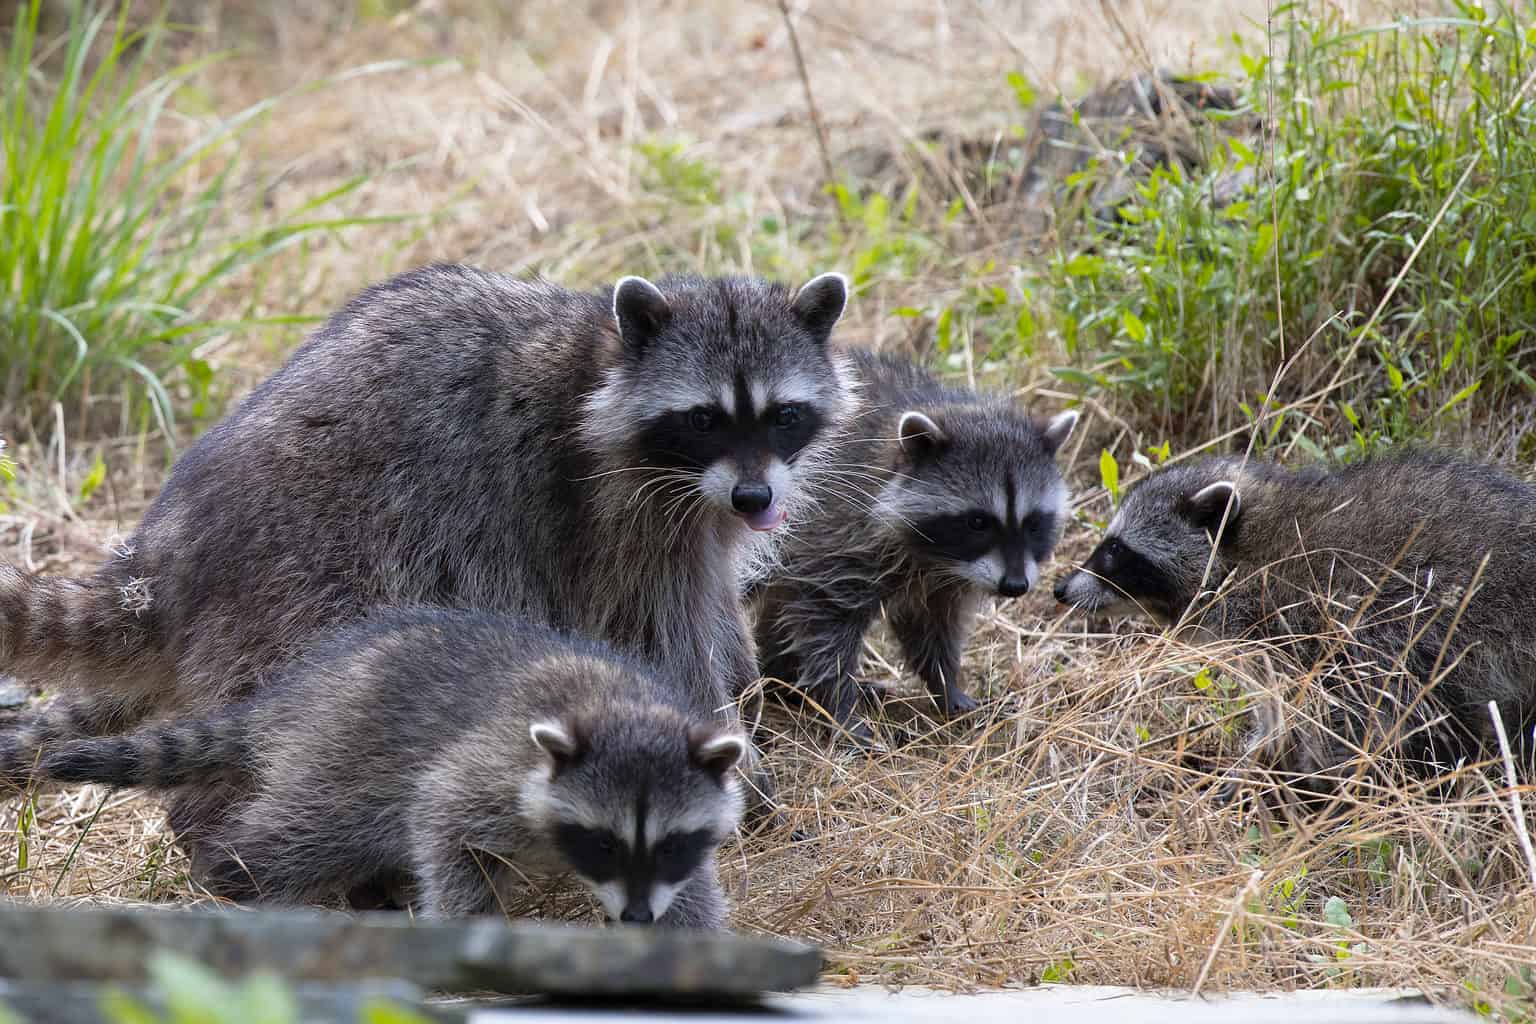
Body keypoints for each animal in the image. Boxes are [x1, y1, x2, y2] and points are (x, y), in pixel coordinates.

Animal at [0, 265, 854, 841]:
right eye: (704, 419)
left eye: (782, 414)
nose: (755, 500)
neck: (607, 360)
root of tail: (165, 553)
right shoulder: (611, 516)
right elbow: (663, 637)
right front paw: (731, 761)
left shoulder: (700, 519)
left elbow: (711, 608)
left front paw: (748, 695)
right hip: (300, 573)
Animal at [35, 608, 746, 925]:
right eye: (602, 842)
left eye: (671, 844)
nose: (637, 921)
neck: (621, 710)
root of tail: (300, 691)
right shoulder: (493, 769)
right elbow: (442, 821)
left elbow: (690, 891)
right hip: (348, 753)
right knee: (308, 832)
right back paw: (233, 870)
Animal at [748, 350, 1079, 742]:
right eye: (978, 522)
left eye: (1033, 524)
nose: (1015, 586)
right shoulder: (834, 533)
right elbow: (823, 624)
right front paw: (839, 705)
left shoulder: (938, 581)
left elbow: (932, 628)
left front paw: (946, 686)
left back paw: (781, 678)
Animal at [1054, 451, 1536, 791]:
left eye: (1116, 550)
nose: (1060, 589)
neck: (1247, 552)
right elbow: (1279, 711)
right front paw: (1262, 760)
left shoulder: (1325, 618)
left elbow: (1343, 716)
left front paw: (1300, 779)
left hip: (1456, 615)